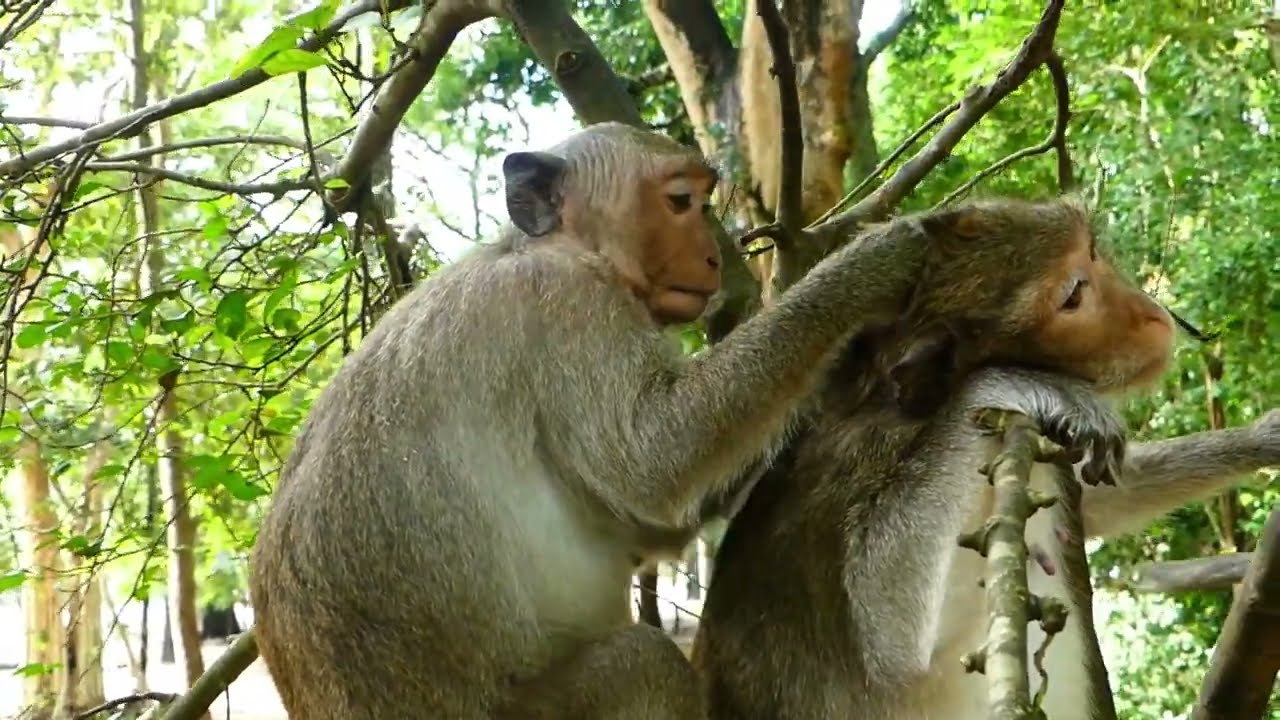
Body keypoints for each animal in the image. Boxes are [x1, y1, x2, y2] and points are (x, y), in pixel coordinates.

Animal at [246, 120, 1002, 720]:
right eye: (680, 201)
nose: (712, 255)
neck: (545, 247)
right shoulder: (570, 307)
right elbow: (654, 461)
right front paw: (867, 269)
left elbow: (647, 524)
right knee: (648, 665)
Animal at [690, 195, 1280, 720]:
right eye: (1073, 295)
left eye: (1093, 253)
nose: (1151, 317)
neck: (912, 400)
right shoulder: (852, 471)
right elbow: (887, 631)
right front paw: (1024, 384)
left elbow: (1102, 496)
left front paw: (1261, 438)